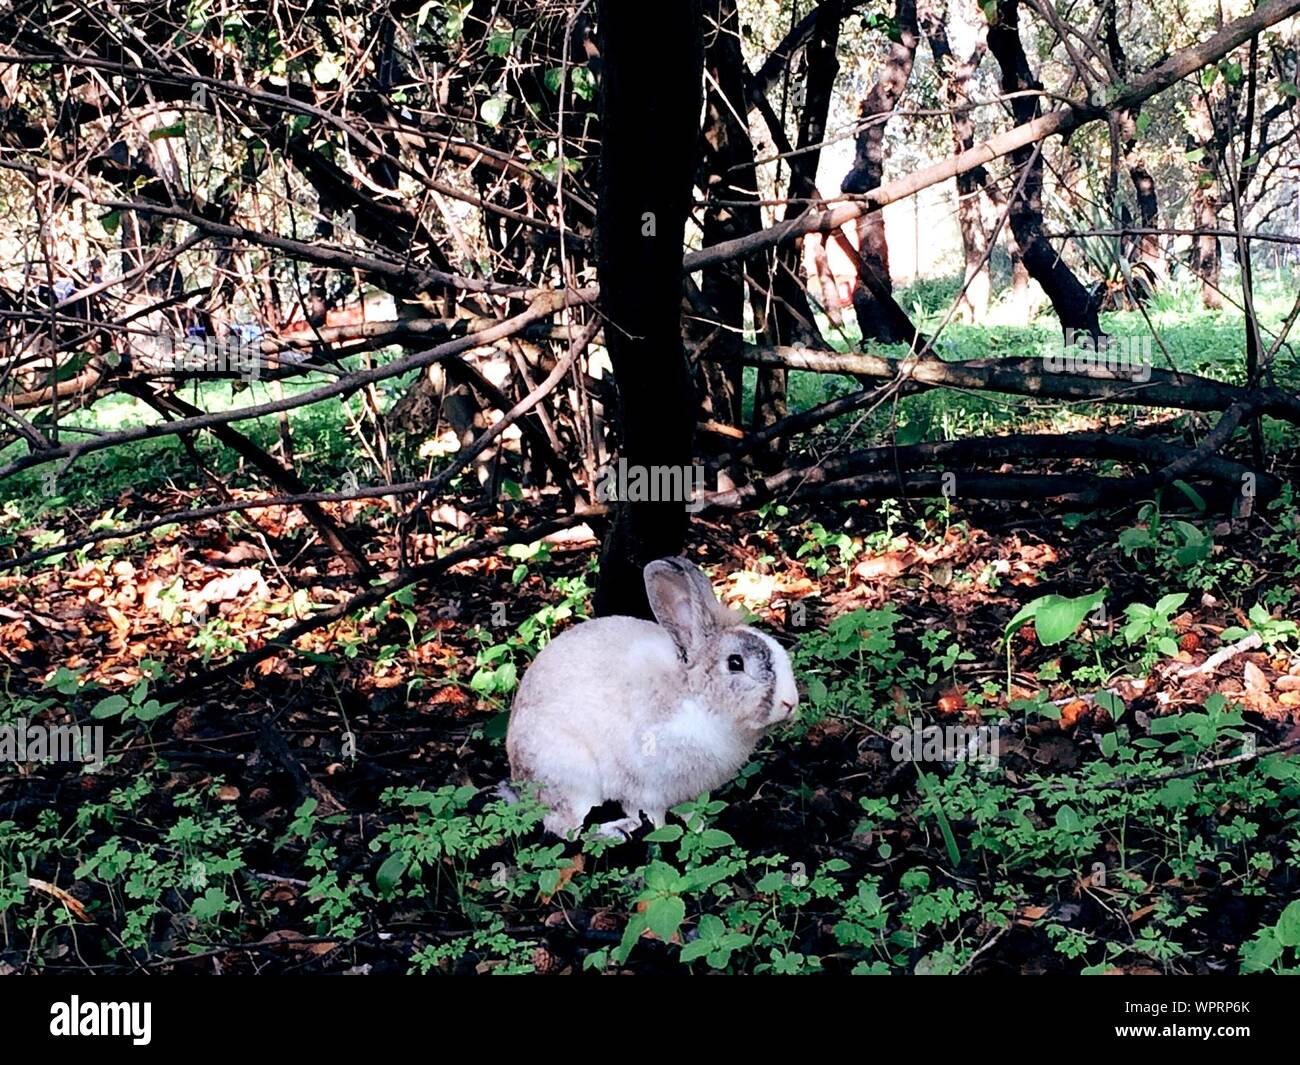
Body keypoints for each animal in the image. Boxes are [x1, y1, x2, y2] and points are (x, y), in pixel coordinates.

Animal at [506, 556, 799, 839]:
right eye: (735, 663)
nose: (790, 703)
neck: (694, 696)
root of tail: (520, 781)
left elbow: (691, 814)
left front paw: (700, 829)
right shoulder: (647, 788)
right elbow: (651, 816)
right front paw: (656, 831)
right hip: (572, 779)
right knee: (569, 829)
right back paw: (615, 832)